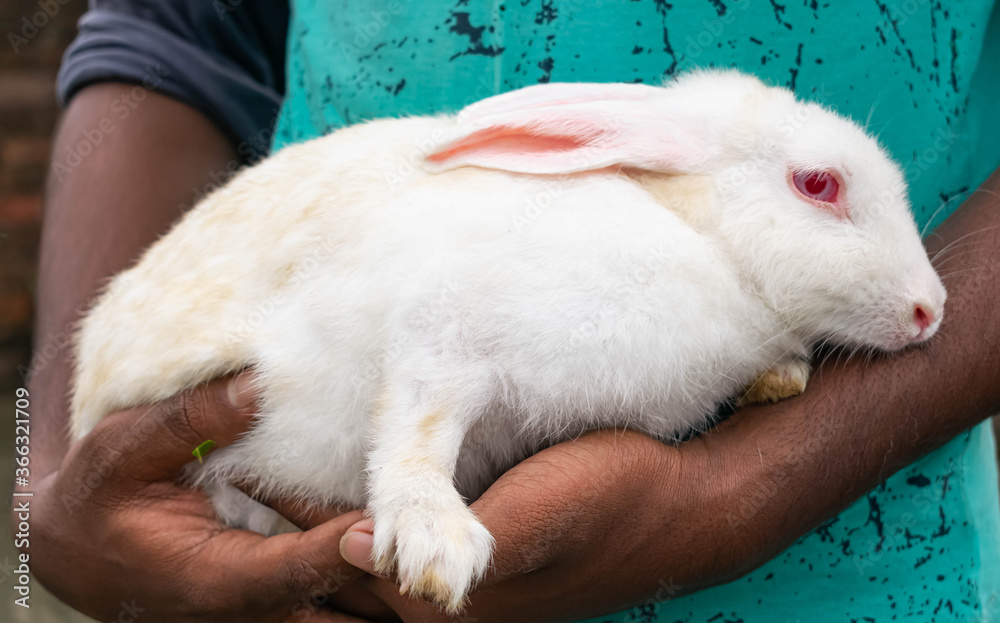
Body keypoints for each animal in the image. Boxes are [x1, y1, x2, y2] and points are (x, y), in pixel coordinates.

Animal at [70, 70, 946, 613]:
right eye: (818, 184)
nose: (931, 310)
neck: (693, 235)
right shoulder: (439, 335)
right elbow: (416, 436)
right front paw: (436, 545)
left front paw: (781, 374)